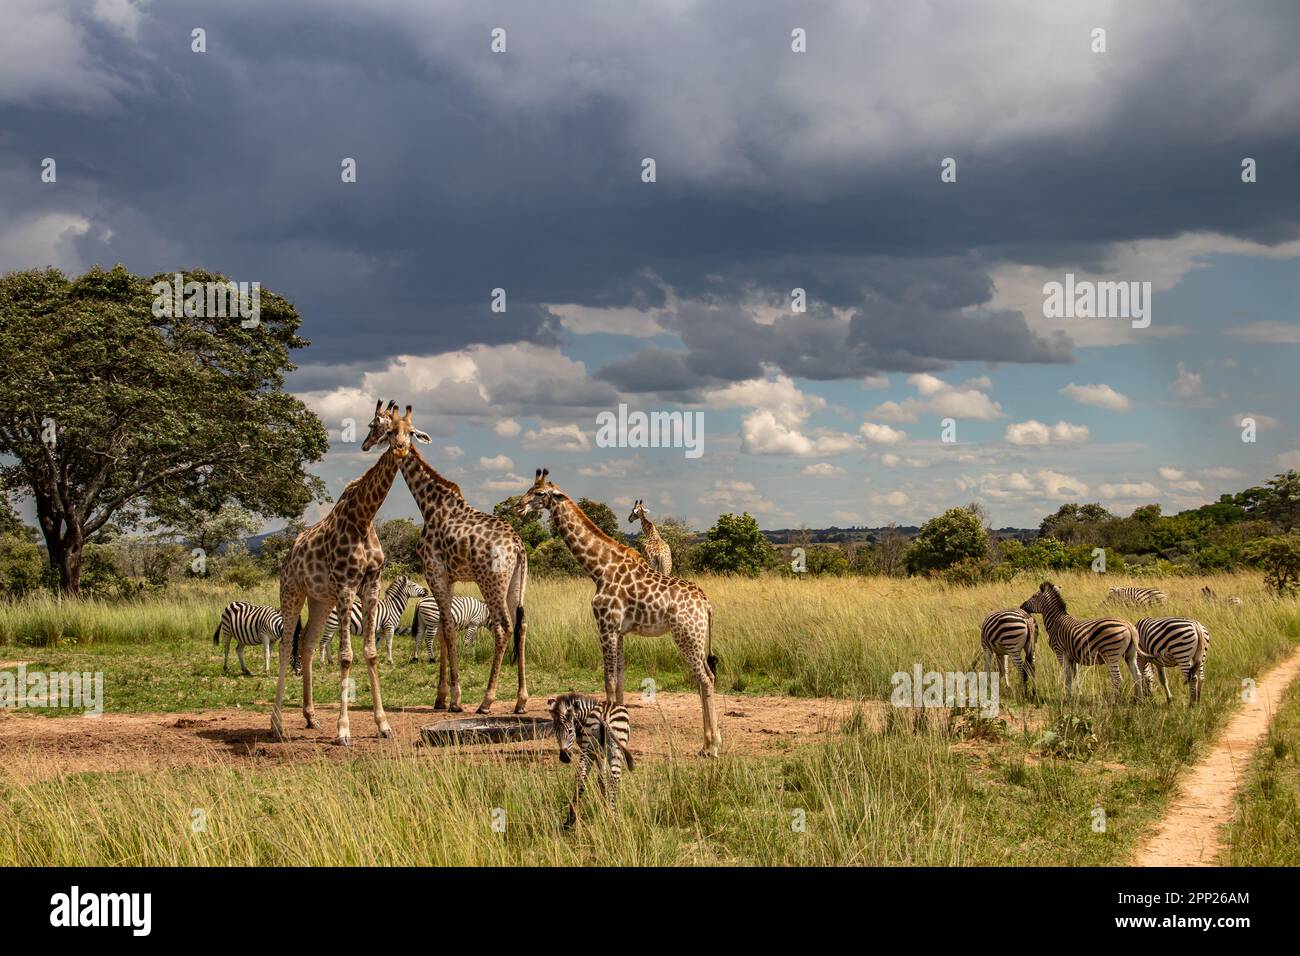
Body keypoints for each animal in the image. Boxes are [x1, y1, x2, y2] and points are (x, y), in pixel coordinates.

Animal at [270, 400, 419, 746]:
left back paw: (310, 717)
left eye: (411, 431)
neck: (364, 518)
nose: (401, 449)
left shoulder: (371, 586)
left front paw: (383, 725)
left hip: (320, 600)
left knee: (306, 644)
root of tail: (290, 553)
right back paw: (277, 725)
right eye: (382, 428)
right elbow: (346, 656)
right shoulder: (346, 586)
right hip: (292, 591)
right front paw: (343, 730)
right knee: (285, 646)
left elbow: (371, 653)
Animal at [398, 444, 529, 714]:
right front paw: (442, 698)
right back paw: (520, 702)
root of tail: (518, 546)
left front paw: (452, 699)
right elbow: (444, 628)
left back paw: (486, 701)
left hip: (491, 581)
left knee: (503, 627)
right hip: (516, 582)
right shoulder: (449, 578)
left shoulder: (434, 571)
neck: (430, 506)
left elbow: (447, 628)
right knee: (521, 625)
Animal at [518, 469, 720, 757]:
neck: (599, 568)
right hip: (697, 638)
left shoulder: (606, 626)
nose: (518, 506)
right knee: (708, 676)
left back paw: (712, 746)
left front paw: (605, 739)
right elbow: (621, 679)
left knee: (704, 679)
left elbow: (609, 681)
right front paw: (620, 735)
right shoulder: (621, 631)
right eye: (529, 489)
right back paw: (706, 744)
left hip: (687, 636)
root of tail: (706, 604)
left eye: (540, 493)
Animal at [547, 692, 634, 828]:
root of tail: (605, 714)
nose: (564, 758)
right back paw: (613, 819)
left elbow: (601, 780)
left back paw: (570, 819)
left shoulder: (598, 753)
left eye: (570, 731)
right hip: (613, 749)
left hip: (591, 749)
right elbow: (602, 780)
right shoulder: (600, 754)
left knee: (581, 775)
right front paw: (605, 811)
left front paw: (604, 810)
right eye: (555, 732)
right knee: (613, 780)